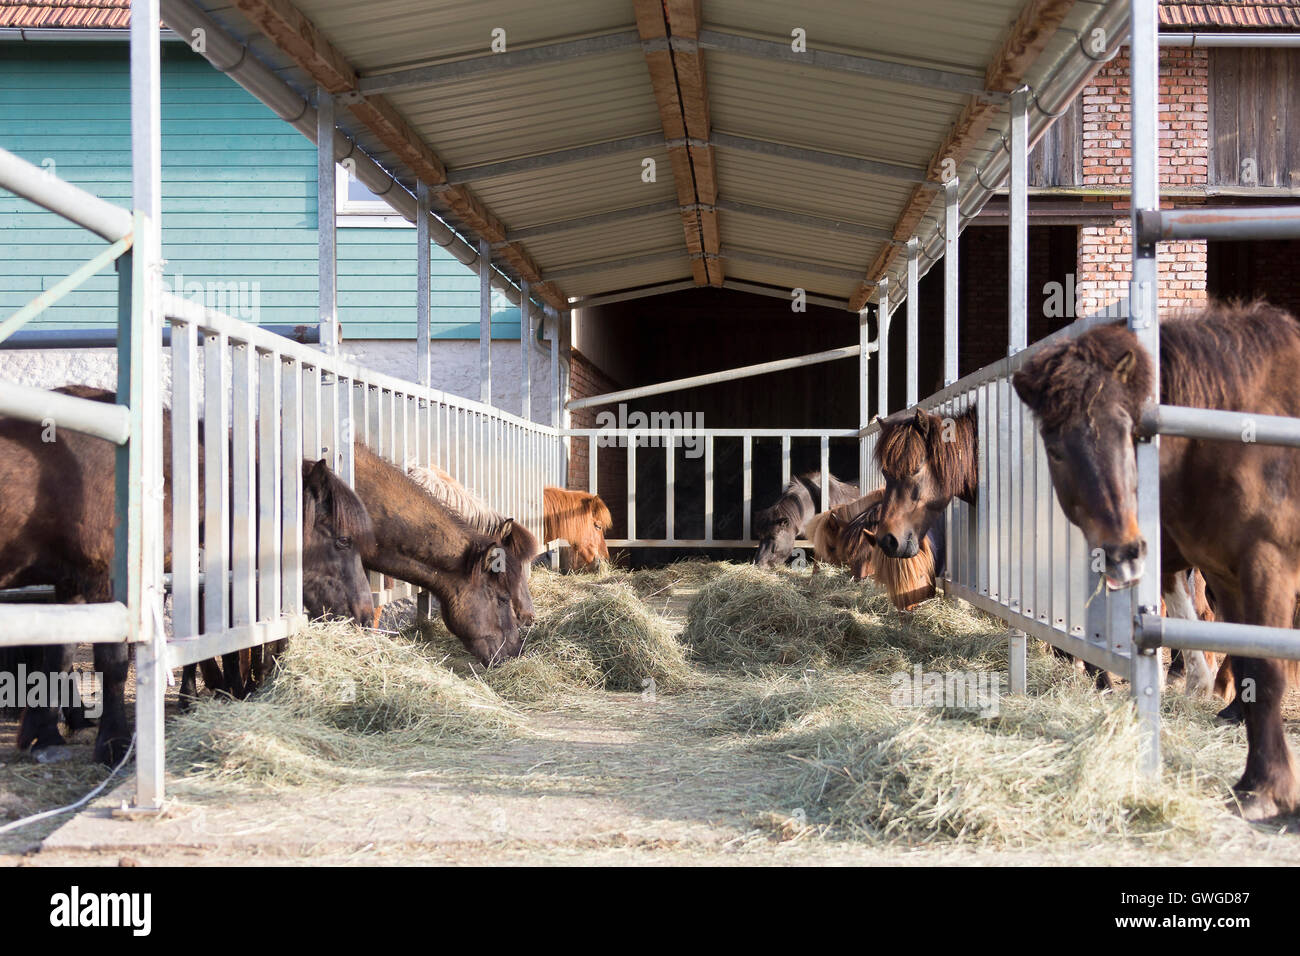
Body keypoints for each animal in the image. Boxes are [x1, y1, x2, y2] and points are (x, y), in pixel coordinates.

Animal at [1012, 301, 1300, 819]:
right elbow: (1245, 657)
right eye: (1055, 448)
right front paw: (1250, 773)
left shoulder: (1266, 564)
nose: (1123, 552)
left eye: (1132, 434)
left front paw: (1267, 790)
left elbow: (1266, 668)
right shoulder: (1225, 573)